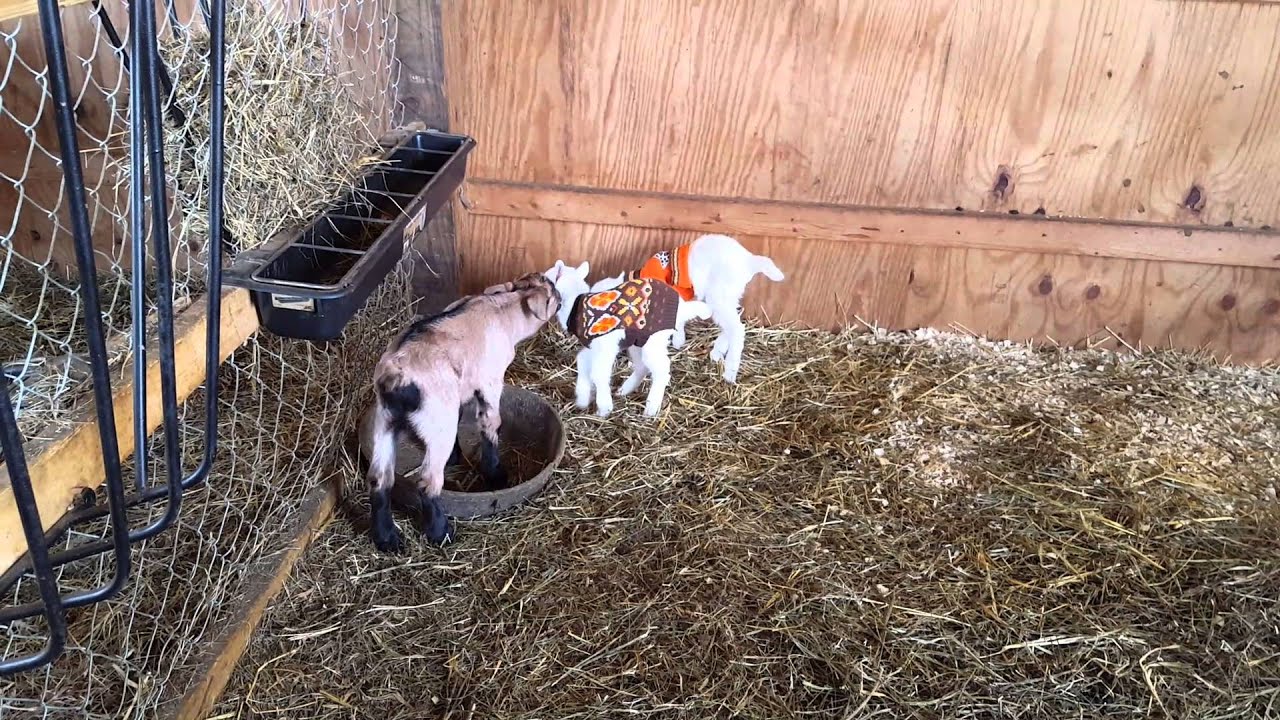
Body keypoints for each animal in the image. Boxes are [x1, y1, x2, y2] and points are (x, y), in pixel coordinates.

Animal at [364, 272, 560, 552]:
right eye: (552, 296)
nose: (562, 298)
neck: (503, 309)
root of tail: (395, 376)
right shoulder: (490, 381)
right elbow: (491, 424)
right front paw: (496, 475)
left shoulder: (458, 394)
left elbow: (460, 417)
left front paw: (457, 457)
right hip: (435, 424)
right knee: (427, 482)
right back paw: (441, 533)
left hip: (385, 423)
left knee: (379, 478)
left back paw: (387, 539)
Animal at [543, 260, 711, 418]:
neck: (575, 305)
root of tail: (682, 308)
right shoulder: (594, 346)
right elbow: (582, 361)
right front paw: (583, 399)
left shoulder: (605, 346)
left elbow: (598, 373)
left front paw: (604, 408)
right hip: (638, 342)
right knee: (642, 366)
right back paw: (625, 389)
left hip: (654, 341)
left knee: (662, 369)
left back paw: (651, 407)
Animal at [637, 233, 784, 383]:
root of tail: (748, 260)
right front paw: (679, 341)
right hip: (729, 297)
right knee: (733, 324)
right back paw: (717, 352)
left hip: (718, 296)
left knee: (737, 329)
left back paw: (730, 371)